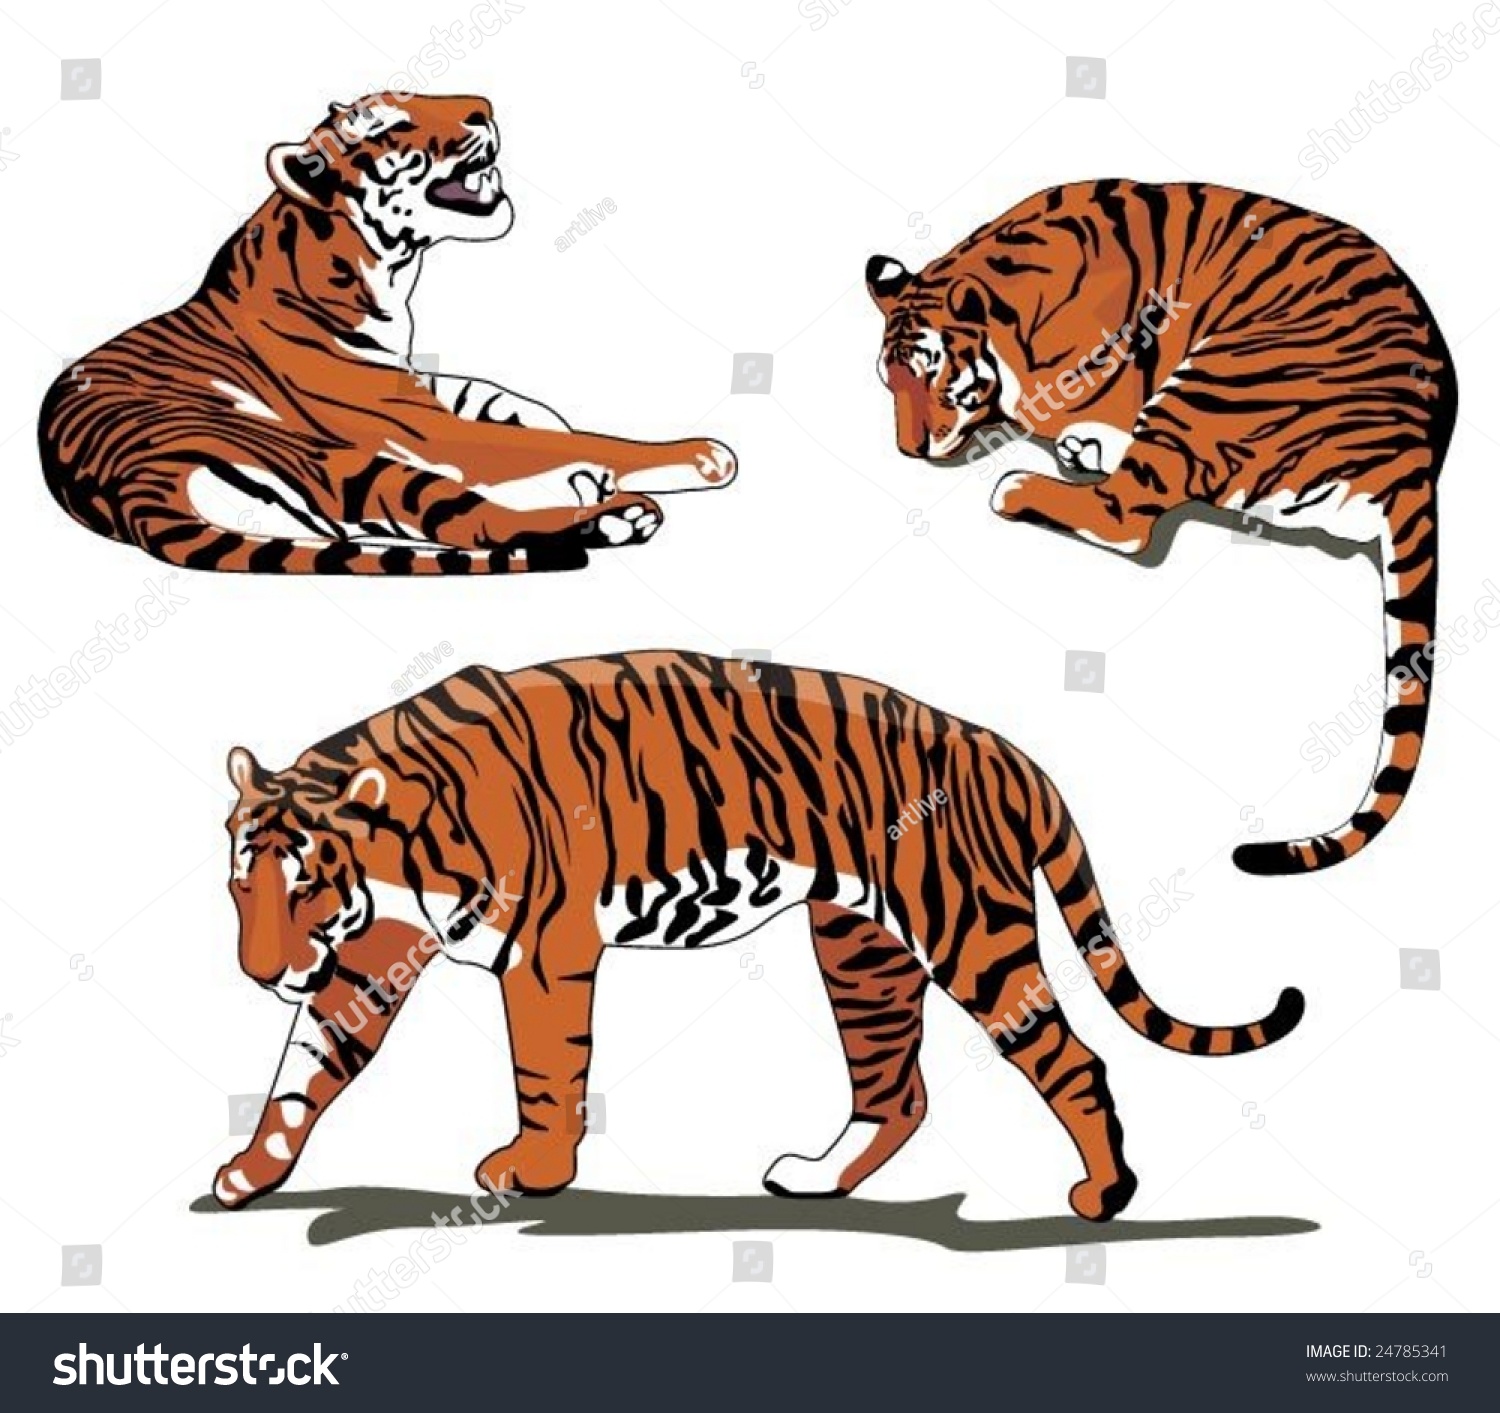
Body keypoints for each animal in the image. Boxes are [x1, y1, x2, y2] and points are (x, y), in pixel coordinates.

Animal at [37, 94, 736, 575]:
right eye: (388, 128)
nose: (485, 108)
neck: (387, 278)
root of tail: (128, 488)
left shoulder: (413, 386)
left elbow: (502, 400)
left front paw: (550, 427)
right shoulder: (426, 430)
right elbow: (581, 442)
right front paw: (697, 454)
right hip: (347, 467)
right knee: (485, 525)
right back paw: (619, 511)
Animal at [212, 650, 1303, 1222]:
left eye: (307, 886)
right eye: (240, 886)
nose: (259, 974)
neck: (396, 862)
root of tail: (1005, 749)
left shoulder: (545, 952)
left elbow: (544, 1071)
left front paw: (532, 1172)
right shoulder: (363, 964)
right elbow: (303, 1074)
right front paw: (252, 1173)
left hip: (967, 933)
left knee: (1070, 1058)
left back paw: (1105, 1193)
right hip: (862, 949)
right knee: (896, 1088)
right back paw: (819, 1178)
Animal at [867, 180, 1458, 875]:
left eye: (934, 375)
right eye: (888, 380)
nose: (908, 450)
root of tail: (1412, 460)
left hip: (1215, 379)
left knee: (1127, 517)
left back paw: (1020, 485)